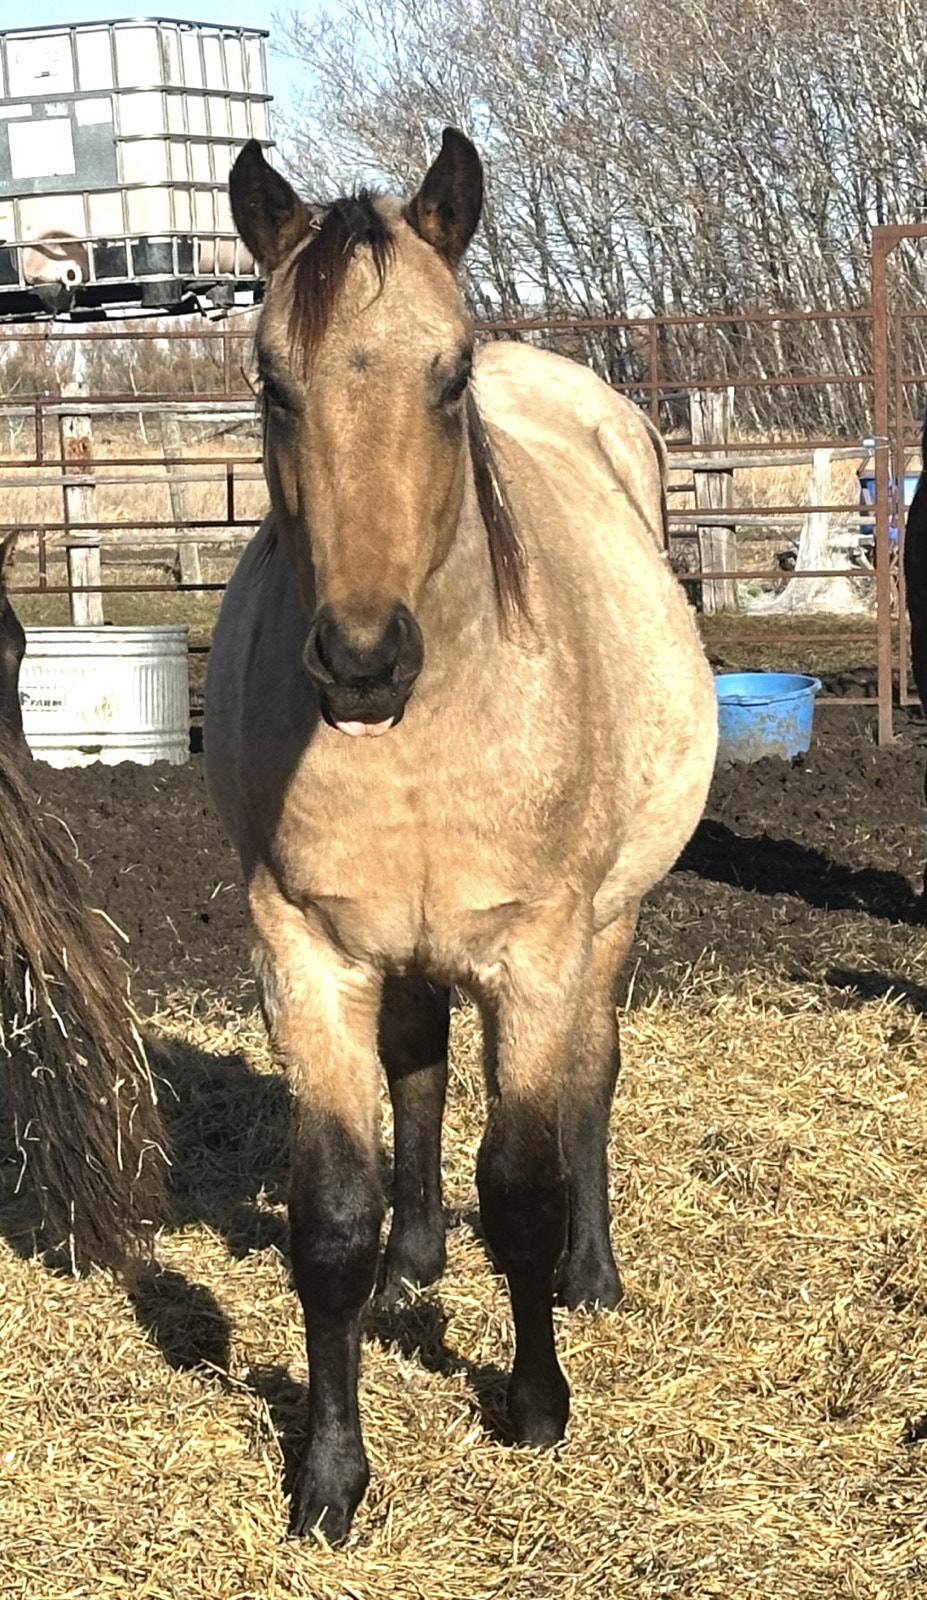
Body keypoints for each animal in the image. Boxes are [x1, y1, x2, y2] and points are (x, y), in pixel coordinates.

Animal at [205, 128, 718, 1542]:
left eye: (449, 378)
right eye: (272, 383)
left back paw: (594, 1270)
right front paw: (330, 1475)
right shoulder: (309, 952)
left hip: (609, 924)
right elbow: (331, 1217)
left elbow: (525, 1185)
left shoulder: (537, 950)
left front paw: (535, 1406)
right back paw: (414, 1267)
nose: (362, 659)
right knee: (422, 1073)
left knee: (591, 1081)